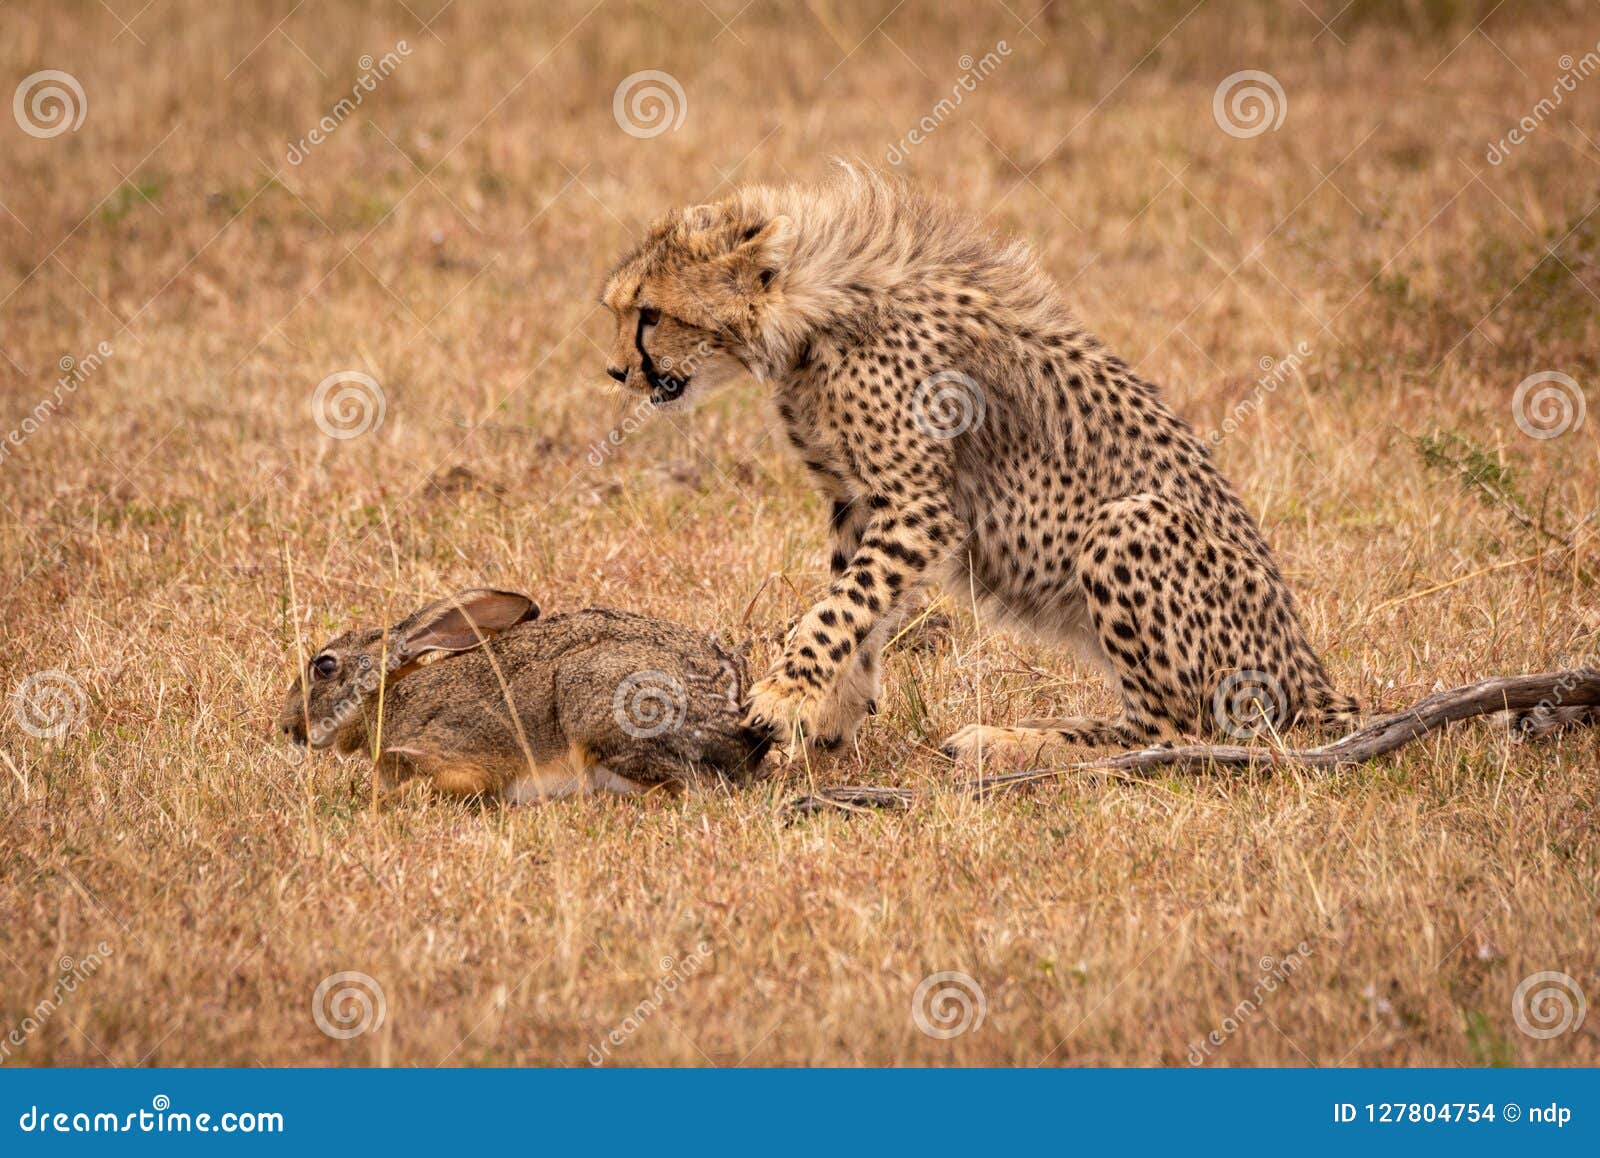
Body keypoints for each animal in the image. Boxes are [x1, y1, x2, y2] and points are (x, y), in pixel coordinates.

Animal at [598, 166, 1359, 765]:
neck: (816, 310)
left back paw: (1014, 741)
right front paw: (832, 720)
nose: (616, 371)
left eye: (650, 313)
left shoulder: (918, 506)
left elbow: (840, 605)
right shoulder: (858, 499)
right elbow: (859, 604)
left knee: (1174, 732)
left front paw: (786, 693)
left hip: (1130, 522)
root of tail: (1314, 678)